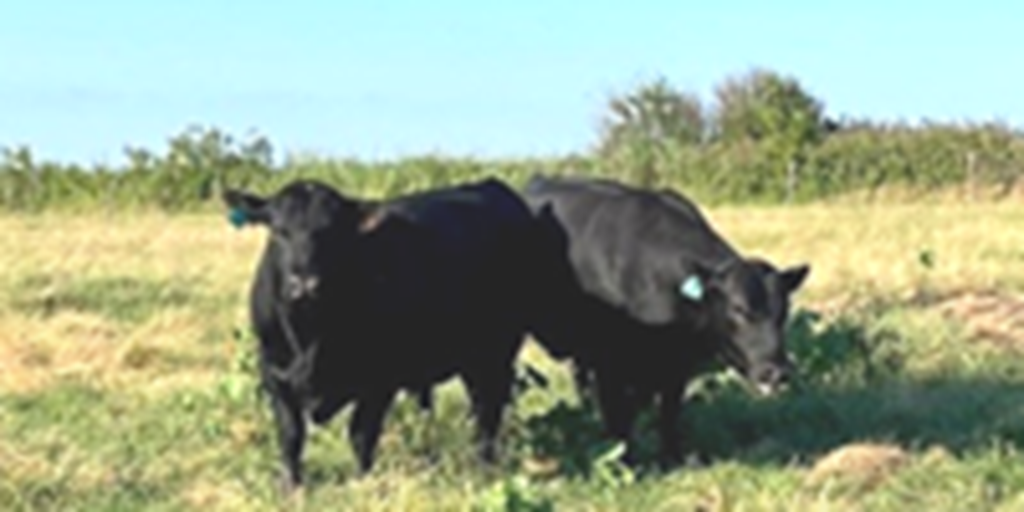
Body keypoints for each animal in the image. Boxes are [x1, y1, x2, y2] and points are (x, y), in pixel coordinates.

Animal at [223, 178, 549, 490]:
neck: (309, 339)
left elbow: (361, 434)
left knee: (488, 409)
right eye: (278, 231)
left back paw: (483, 465)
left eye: (331, 232)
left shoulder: (380, 379)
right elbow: (291, 435)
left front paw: (364, 483)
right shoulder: (274, 374)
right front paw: (291, 488)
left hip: (497, 352)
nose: (305, 283)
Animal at [521, 174, 811, 468]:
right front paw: (625, 462)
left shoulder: (677, 364)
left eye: (784, 311)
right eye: (738, 309)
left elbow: (669, 412)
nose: (776, 373)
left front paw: (673, 458)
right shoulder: (608, 365)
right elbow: (619, 418)